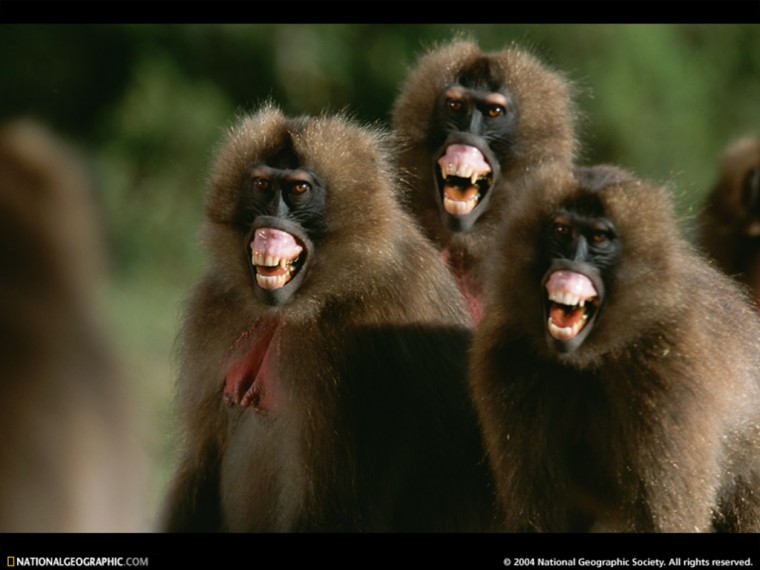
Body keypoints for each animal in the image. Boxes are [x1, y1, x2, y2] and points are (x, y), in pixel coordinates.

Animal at [161, 106, 496, 532]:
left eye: (299, 190)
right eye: (262, 185)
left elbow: (334, 506)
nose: (269, 224)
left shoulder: (359, 349)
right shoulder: (217, 307)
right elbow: (202, 455)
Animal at [469, 164, 760, 532]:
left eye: (598, 238)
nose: (570, 264)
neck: (593, 358)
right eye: (561, 230)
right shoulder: (508, 354)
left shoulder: (671, 374)